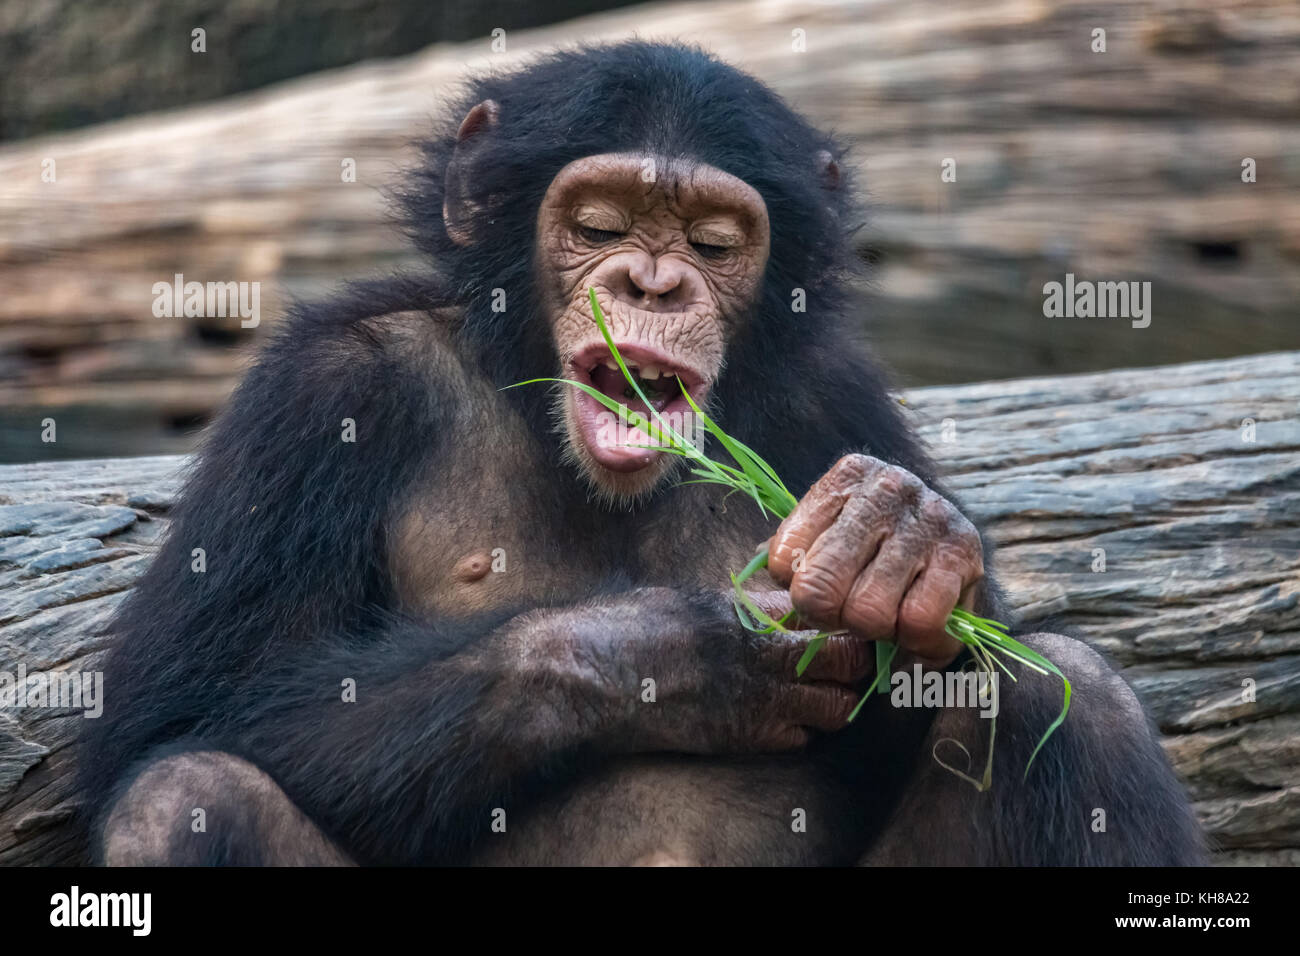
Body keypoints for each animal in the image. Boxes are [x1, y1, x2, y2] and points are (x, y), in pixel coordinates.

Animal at [82, 41, 1205, 866]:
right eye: (598, 223)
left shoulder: (838, 397)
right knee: (186, 796)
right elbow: (183, 711)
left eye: (713, 240)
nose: (654, 282)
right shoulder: (318, 394)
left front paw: (899, 542)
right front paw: (675, 653)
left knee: (1066, 696)